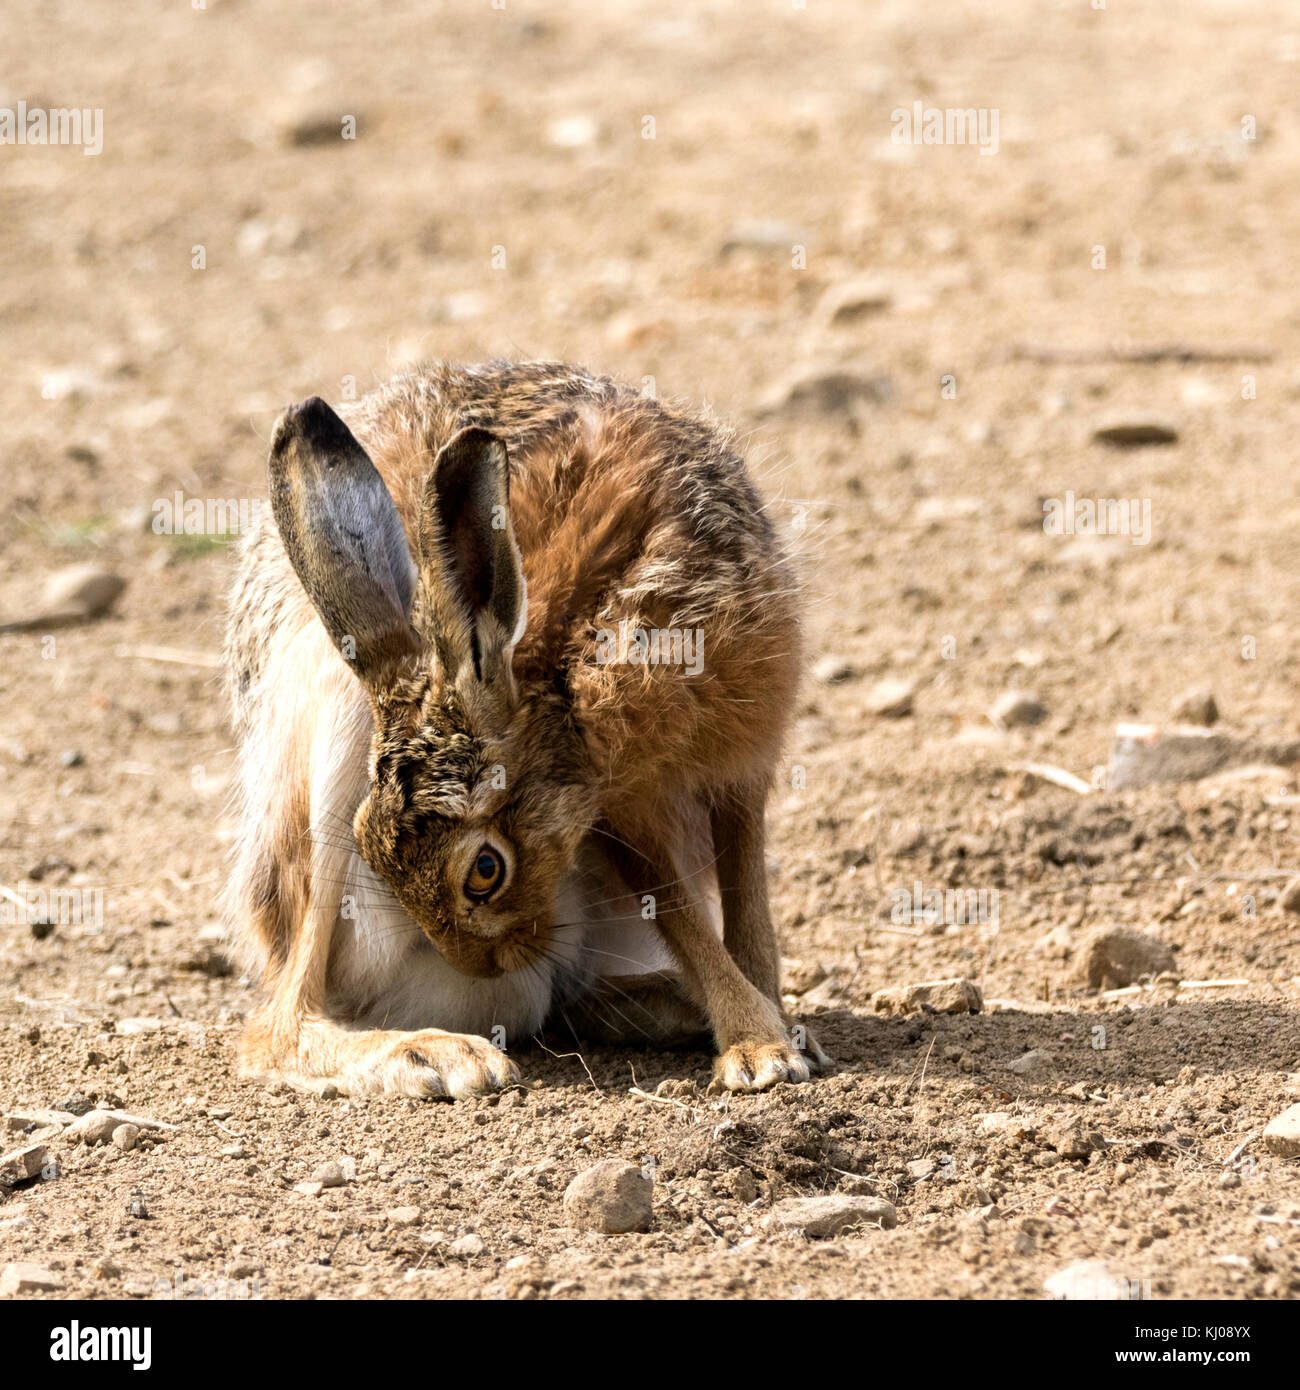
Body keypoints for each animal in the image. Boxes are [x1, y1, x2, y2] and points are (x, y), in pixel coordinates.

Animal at [224, 360, 828, 1098]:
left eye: (485, 872)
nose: (480, 963)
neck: (554, 665)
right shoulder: (611, 799)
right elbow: (678, 907)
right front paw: (758, 1045)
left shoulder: (739, 759)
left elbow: (745, 902)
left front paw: (772, 1034)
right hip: (327, 721)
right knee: (279, 1026)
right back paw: (437, 1054)